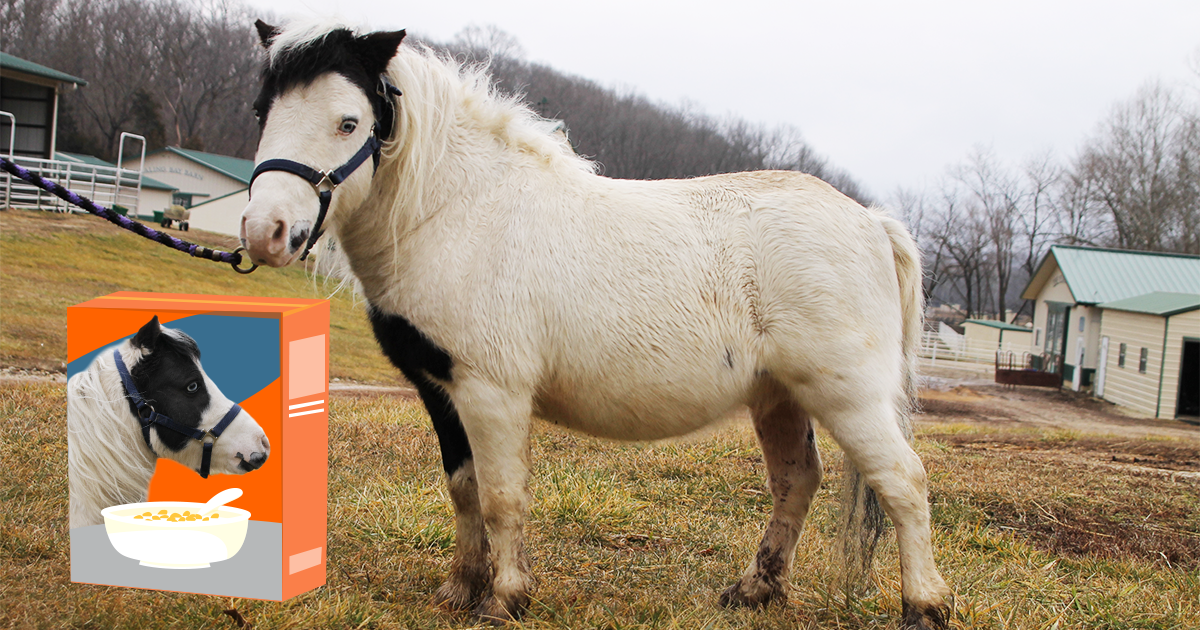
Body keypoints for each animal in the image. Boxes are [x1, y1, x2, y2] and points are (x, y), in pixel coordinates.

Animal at [239, 19, 952, 629]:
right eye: (262, 111)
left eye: (349, 121)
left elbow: (502, 497)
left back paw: (924, 604)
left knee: (904, 482)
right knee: (796, 481)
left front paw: (505, 599)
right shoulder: (441, 391)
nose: (266, 231)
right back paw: (755, 590)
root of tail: (871, 221)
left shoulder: (491, 393)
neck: (457, 211)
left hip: (846, 395)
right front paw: (461, 588)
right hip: (778, 396)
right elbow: (465, 490)